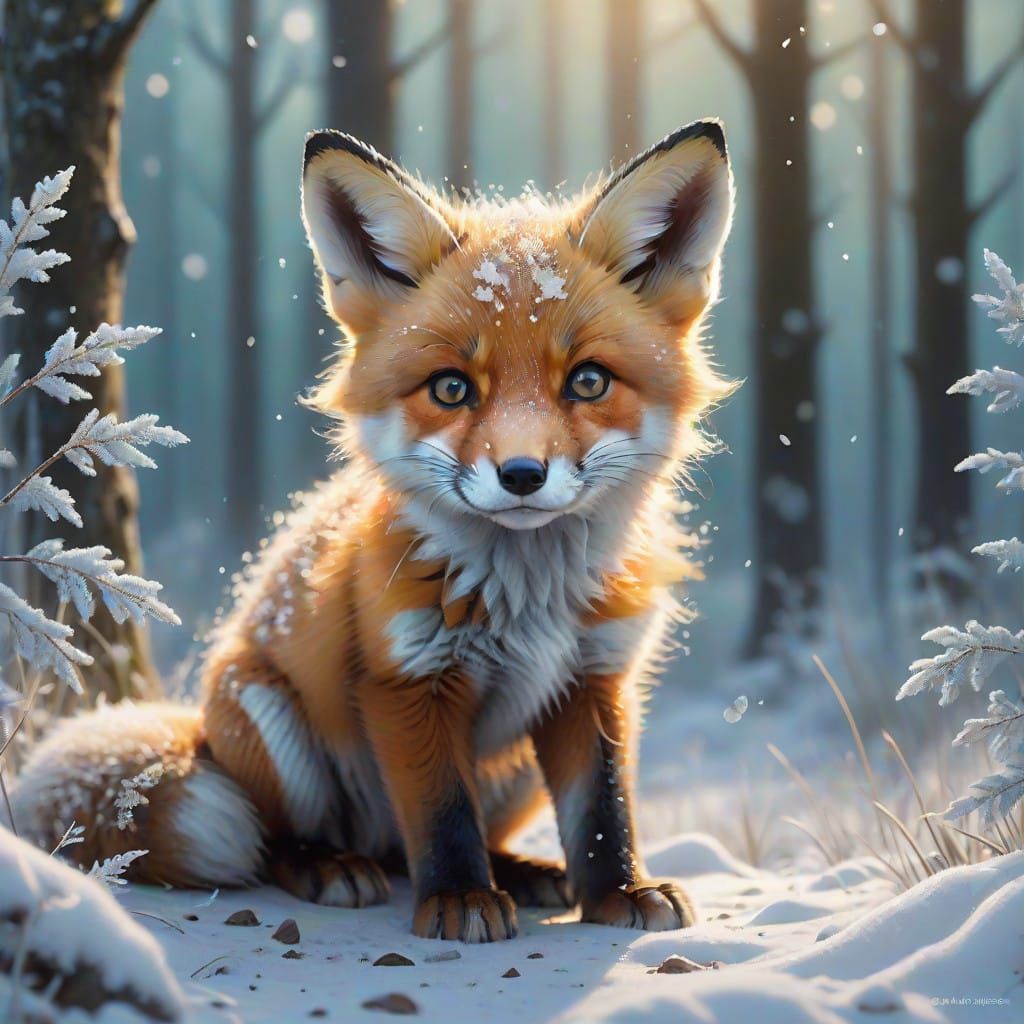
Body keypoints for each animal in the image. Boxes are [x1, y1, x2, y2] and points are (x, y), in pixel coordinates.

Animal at [11, 119, 735, 943]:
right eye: (451, 388)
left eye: (588, 380)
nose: (522, 474)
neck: (530, 600)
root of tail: (199, 730)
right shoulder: (405, 680)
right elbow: (442, 812)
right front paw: (460, 899)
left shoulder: (594, 679)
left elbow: (602, 810)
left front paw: (618, 892)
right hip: (269, 720)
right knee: (277, 841)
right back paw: (328, 865)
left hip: (512, 768)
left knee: (416, 846)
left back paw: (521, 870)